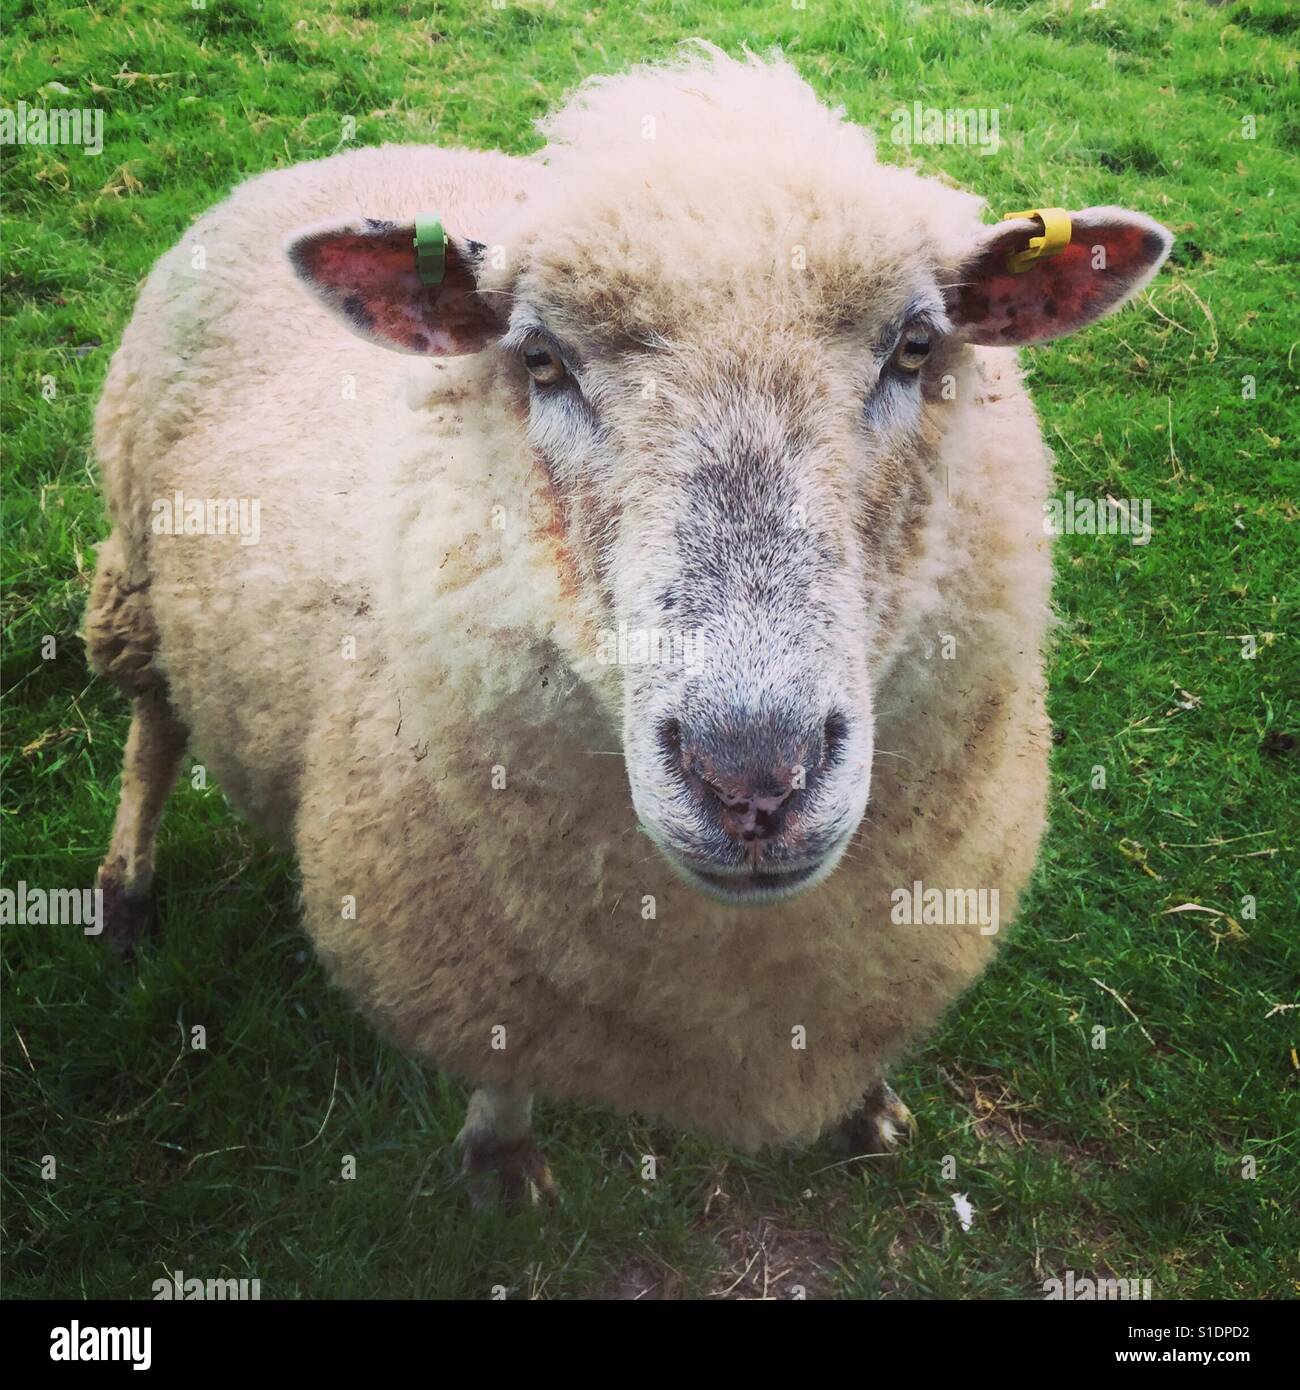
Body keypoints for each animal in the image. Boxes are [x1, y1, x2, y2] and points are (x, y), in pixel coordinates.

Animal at [85, 45, 1172, 1199]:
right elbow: (505, 1057)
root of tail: (352, 150)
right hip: (139, 564)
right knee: (155, 726)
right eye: (541, 361)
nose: (754, 781)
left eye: (916, 347)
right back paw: (126, 893)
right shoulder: (478, 961)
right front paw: (501, 1162)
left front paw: (867, 1106)